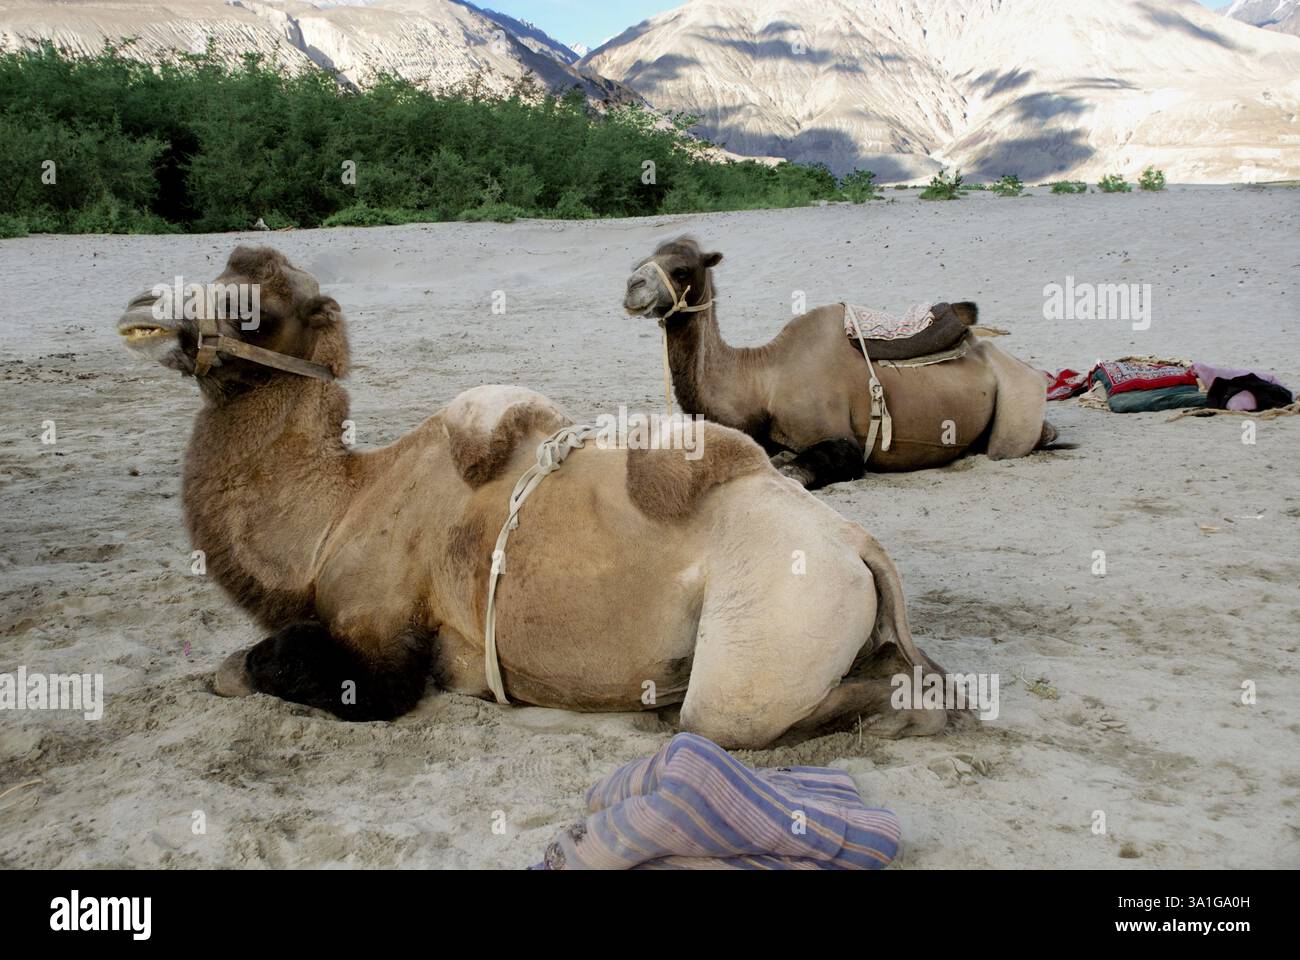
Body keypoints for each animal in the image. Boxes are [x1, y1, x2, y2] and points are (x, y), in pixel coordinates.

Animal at [116, 245, 955, 749]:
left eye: (254, 307)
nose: (142, 305)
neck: (343, 509)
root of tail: (857, 545)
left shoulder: (385, 648)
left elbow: (264, 663)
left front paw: (229, 669)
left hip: (770, 624)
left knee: (733, 716)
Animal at [624, 237, 1058, 489]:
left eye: (681, 269)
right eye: (641, 261)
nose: (632, 287)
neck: (762, 380)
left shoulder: (840, 438)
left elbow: (792, 472)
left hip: (1016, 403)